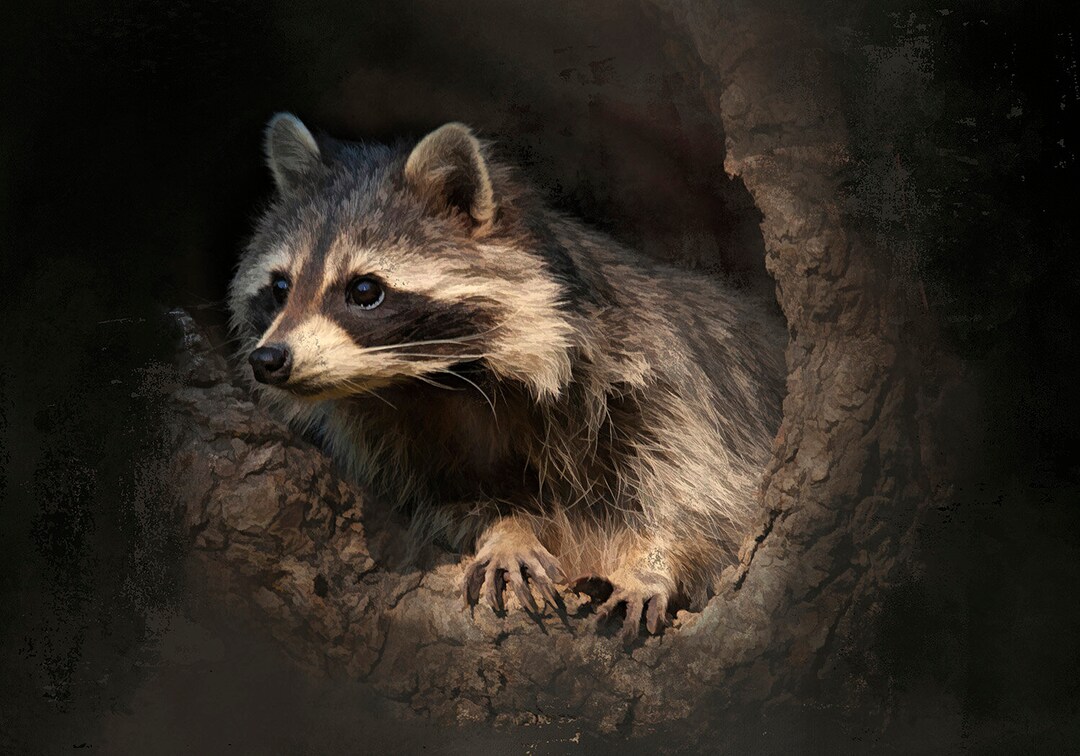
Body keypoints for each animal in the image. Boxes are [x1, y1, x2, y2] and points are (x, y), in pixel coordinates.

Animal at [228, 113, 785, 641]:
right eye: (280, 287)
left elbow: (709, 495)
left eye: (364, 290)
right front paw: (507, 529)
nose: (269, 358)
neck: (442, 381)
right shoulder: (395, 443)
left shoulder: (671, 379)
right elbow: (447, 504)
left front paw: (651, 565)